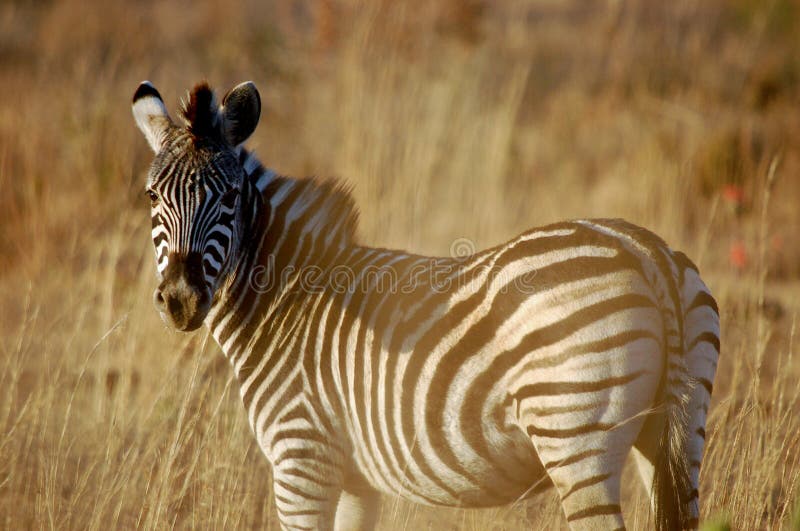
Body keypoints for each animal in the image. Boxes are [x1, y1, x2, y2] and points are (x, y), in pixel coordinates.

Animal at [132, 80, 719, 530]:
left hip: (575, 438)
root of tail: (644, 251)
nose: (181, 301)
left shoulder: (301, 458)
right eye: (151, 197)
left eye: (230, 197)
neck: (286, 302)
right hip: (677, 431)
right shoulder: (356, 480)